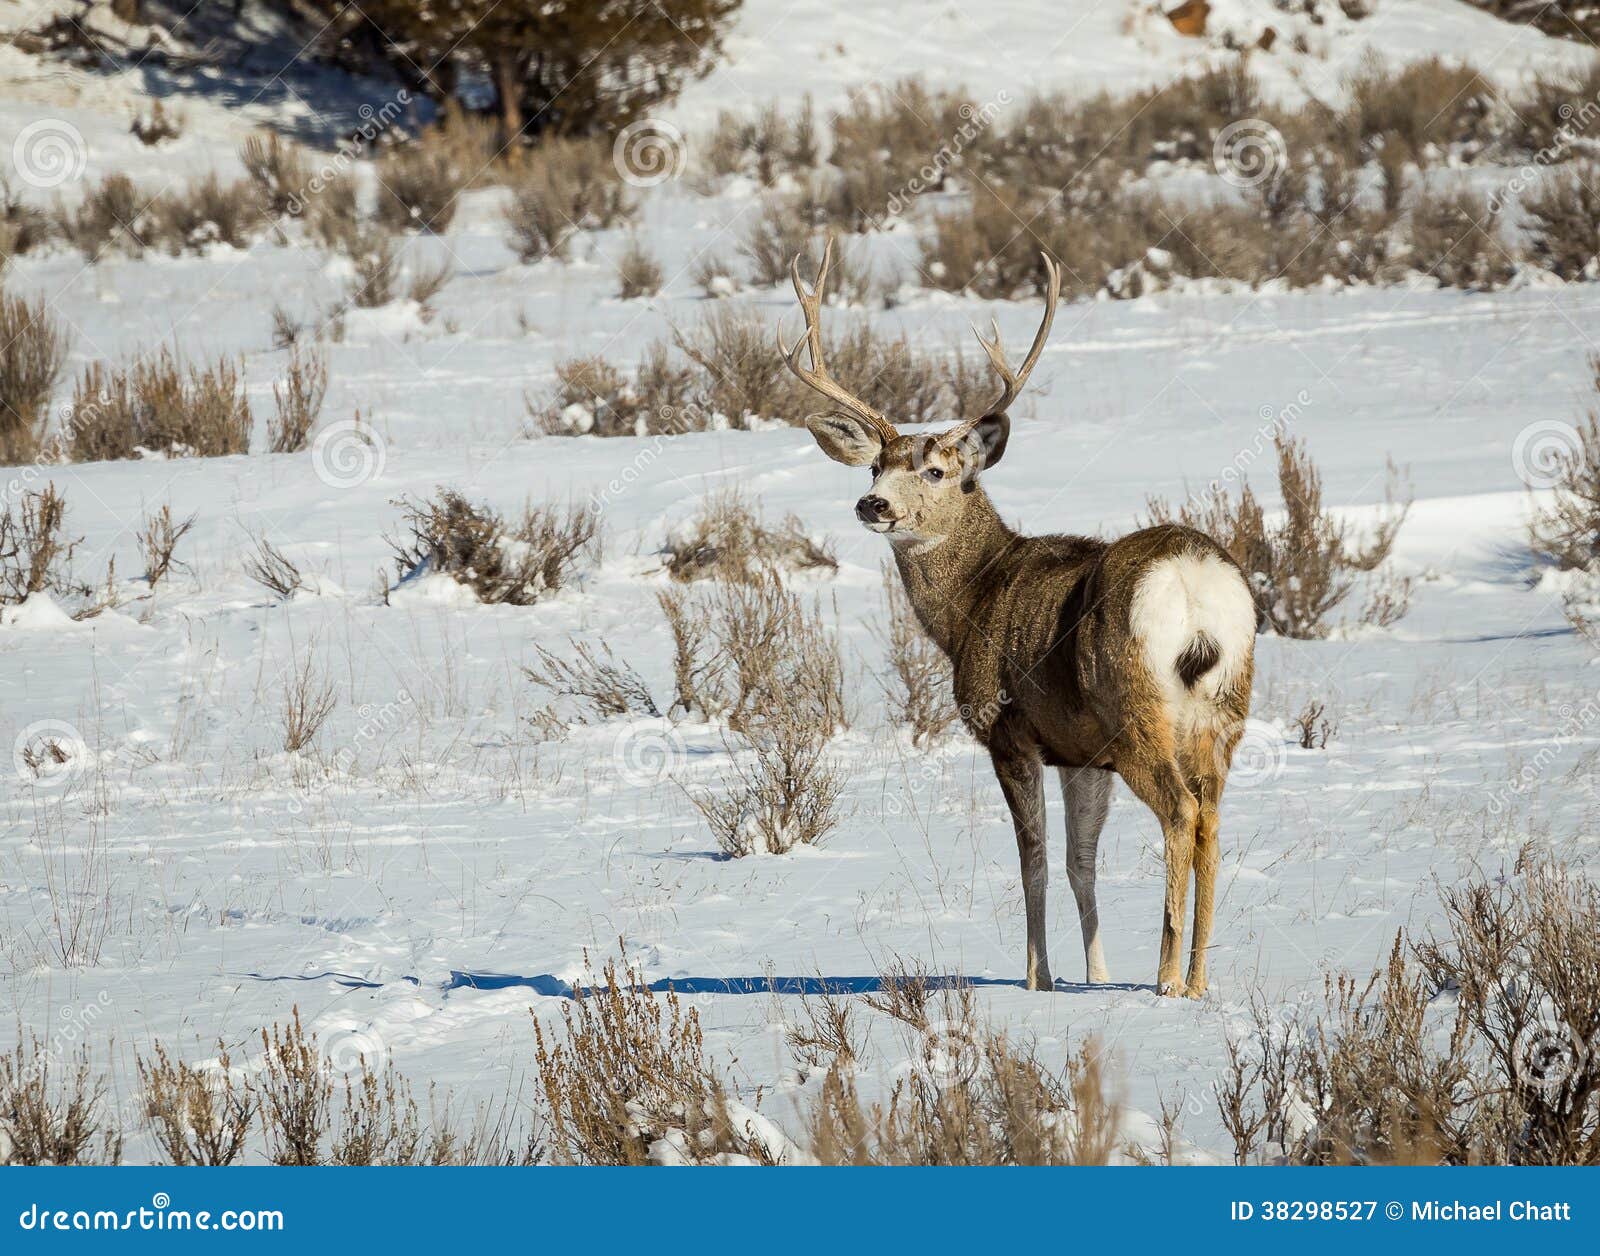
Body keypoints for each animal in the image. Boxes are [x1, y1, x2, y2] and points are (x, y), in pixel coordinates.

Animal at [778, 239, 1256, 997]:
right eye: (876, 466)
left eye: (938, 471)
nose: (873, 505)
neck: (970, 602)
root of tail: (1193, 582)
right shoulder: (1080, 753)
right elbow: (1080, 861)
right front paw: (1094, 974)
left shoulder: (1007, 728)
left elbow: (1032, 856)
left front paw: (1039, 978)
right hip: (1223, 709)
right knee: (1210, 816)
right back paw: (1200, 979)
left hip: (1134, 705)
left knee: (1181, 812)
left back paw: (1165, 981)